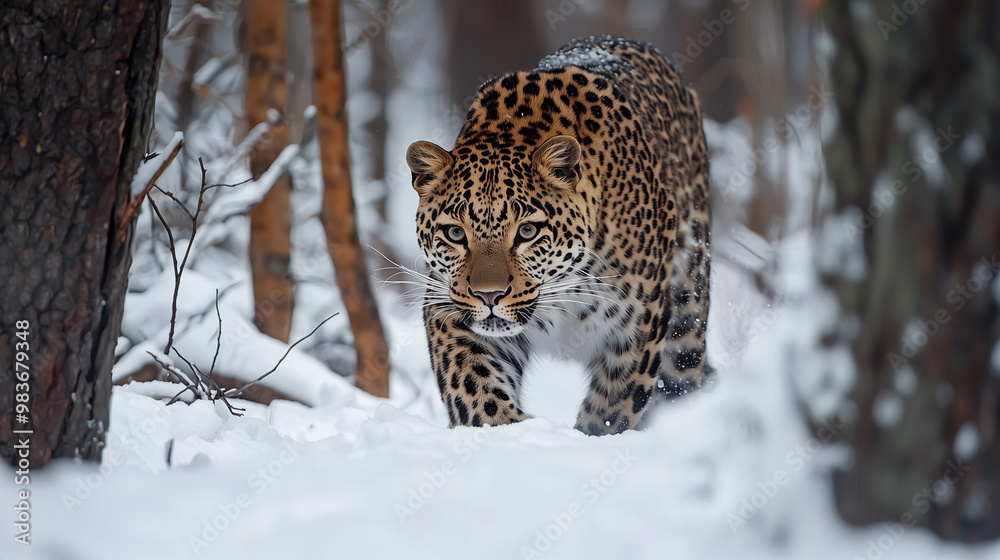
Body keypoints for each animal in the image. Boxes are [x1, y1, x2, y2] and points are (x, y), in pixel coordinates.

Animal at [404, 36, 711, 436]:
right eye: (456, 233)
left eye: (527, 231)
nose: (489, 296)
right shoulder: (447, 305)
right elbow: (474, 390)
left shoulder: (638, 327)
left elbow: (612, 410)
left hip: (688, 313)